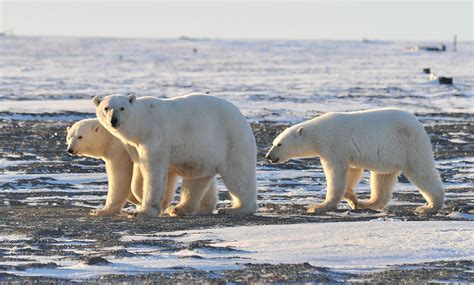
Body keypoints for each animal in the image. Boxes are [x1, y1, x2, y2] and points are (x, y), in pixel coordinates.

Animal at [66, 117, 218, 215]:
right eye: (69, 137)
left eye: (80, 137)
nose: (70, 149)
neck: (111, 137)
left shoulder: (121, 151)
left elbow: (121, 177)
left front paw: (101, 211)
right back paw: (203, 207)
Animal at [91, 92, 258, 216]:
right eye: (106, 108)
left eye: (122, 108)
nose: (114, 120)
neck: (142, 124)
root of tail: (243, 119)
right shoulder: (134, 146)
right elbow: (142, 172)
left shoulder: (155, 139)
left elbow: (154, 171)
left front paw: (143, 211)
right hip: (205, 155)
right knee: (197, 180)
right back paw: (180, 208)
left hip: (232, 141)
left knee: (239, 176)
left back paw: (236, 208)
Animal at [266, 107, 444, 214]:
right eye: (273, 142)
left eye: (279, 144)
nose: (268, 156)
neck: (319, 134)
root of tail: (419, 126)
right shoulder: (347, 152)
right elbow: (352, 171)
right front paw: (353, 200)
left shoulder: (334, 146)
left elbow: (336, 174)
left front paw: (318, 206)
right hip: (389, 156)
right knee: (382, 179)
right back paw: (367, 203)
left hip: (409, 146)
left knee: (421, 172)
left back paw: (429, 207)